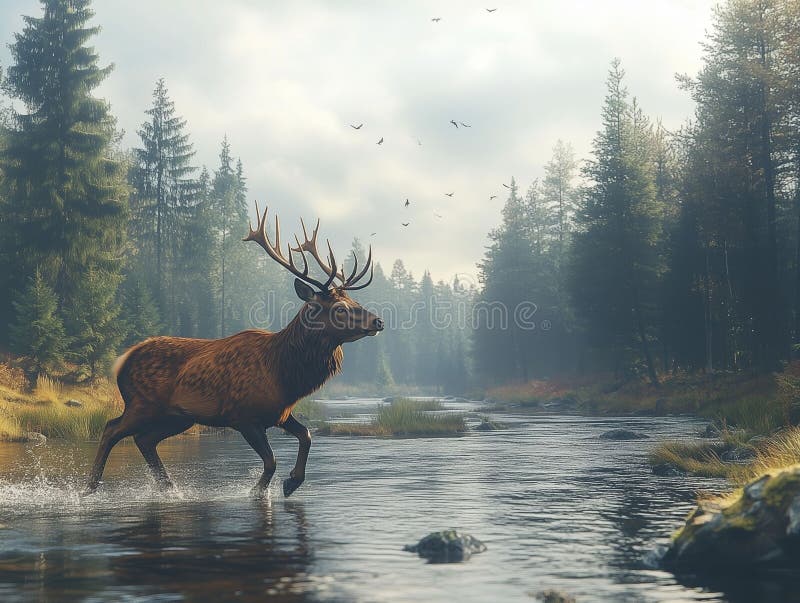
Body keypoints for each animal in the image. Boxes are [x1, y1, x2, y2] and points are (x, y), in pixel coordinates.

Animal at [85, 203, 383, 497]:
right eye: (340, 309)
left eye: (355, 301)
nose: (378, 321)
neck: (285, 375)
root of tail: (123, 360)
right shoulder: (242, 417)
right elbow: (271, 461)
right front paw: (258, 491)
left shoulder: (279, 414)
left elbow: (307, 435)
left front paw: (291, 482)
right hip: (142, 403)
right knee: (111, 428)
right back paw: (89, 488)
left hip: (178, 417)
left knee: (144, 439)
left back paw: (169, 488)